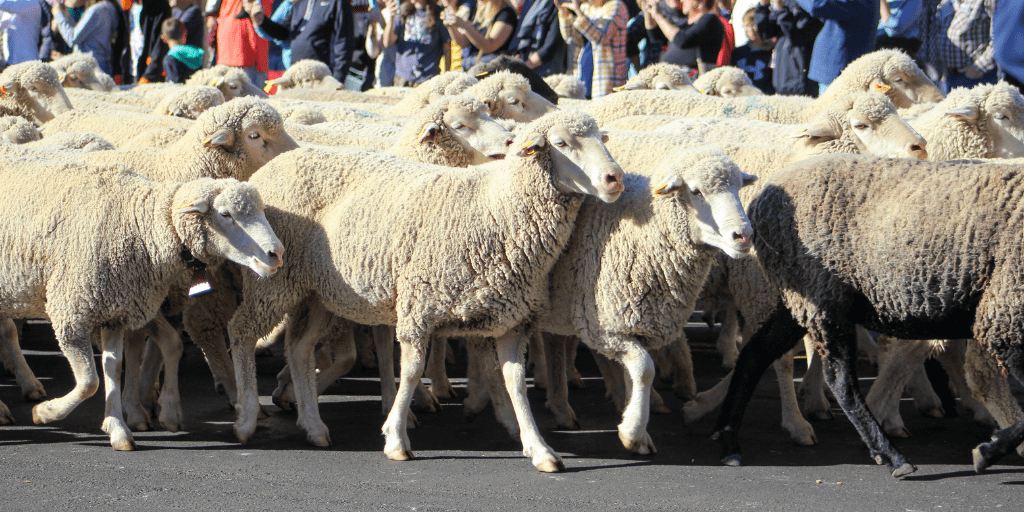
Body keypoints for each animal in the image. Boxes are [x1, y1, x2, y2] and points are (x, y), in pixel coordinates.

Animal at [0, 155, 282, 449]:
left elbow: (113, 368)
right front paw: (44, 413)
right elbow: (90, 382)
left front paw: (119, 428)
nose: (277, 253)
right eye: (226, 214)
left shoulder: (115, 310)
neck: (141, 222)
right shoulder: (71, 312)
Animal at [226, 109, 624, 472]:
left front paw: (539, 448)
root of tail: (274, 166)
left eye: (601, 139)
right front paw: (396, 439)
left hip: (320, 291)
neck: (496, 208)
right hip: (273, 280)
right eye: (561, 144)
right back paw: (247, 418)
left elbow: (514, 382)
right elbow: (413, 370)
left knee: (299, 349)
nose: (615, 178)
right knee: (242, 331)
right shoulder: (418, 306)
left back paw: (313, 426)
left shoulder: (512, 318)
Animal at [714, 154, 1024, 477]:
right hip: (823, 298)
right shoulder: (1005, 316)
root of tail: (763, 195)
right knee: (840, 381)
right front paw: (988, 451)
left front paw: (992, 448)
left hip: (799, 299)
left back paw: (728, 442)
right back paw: (892, 456)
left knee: (753, 355)